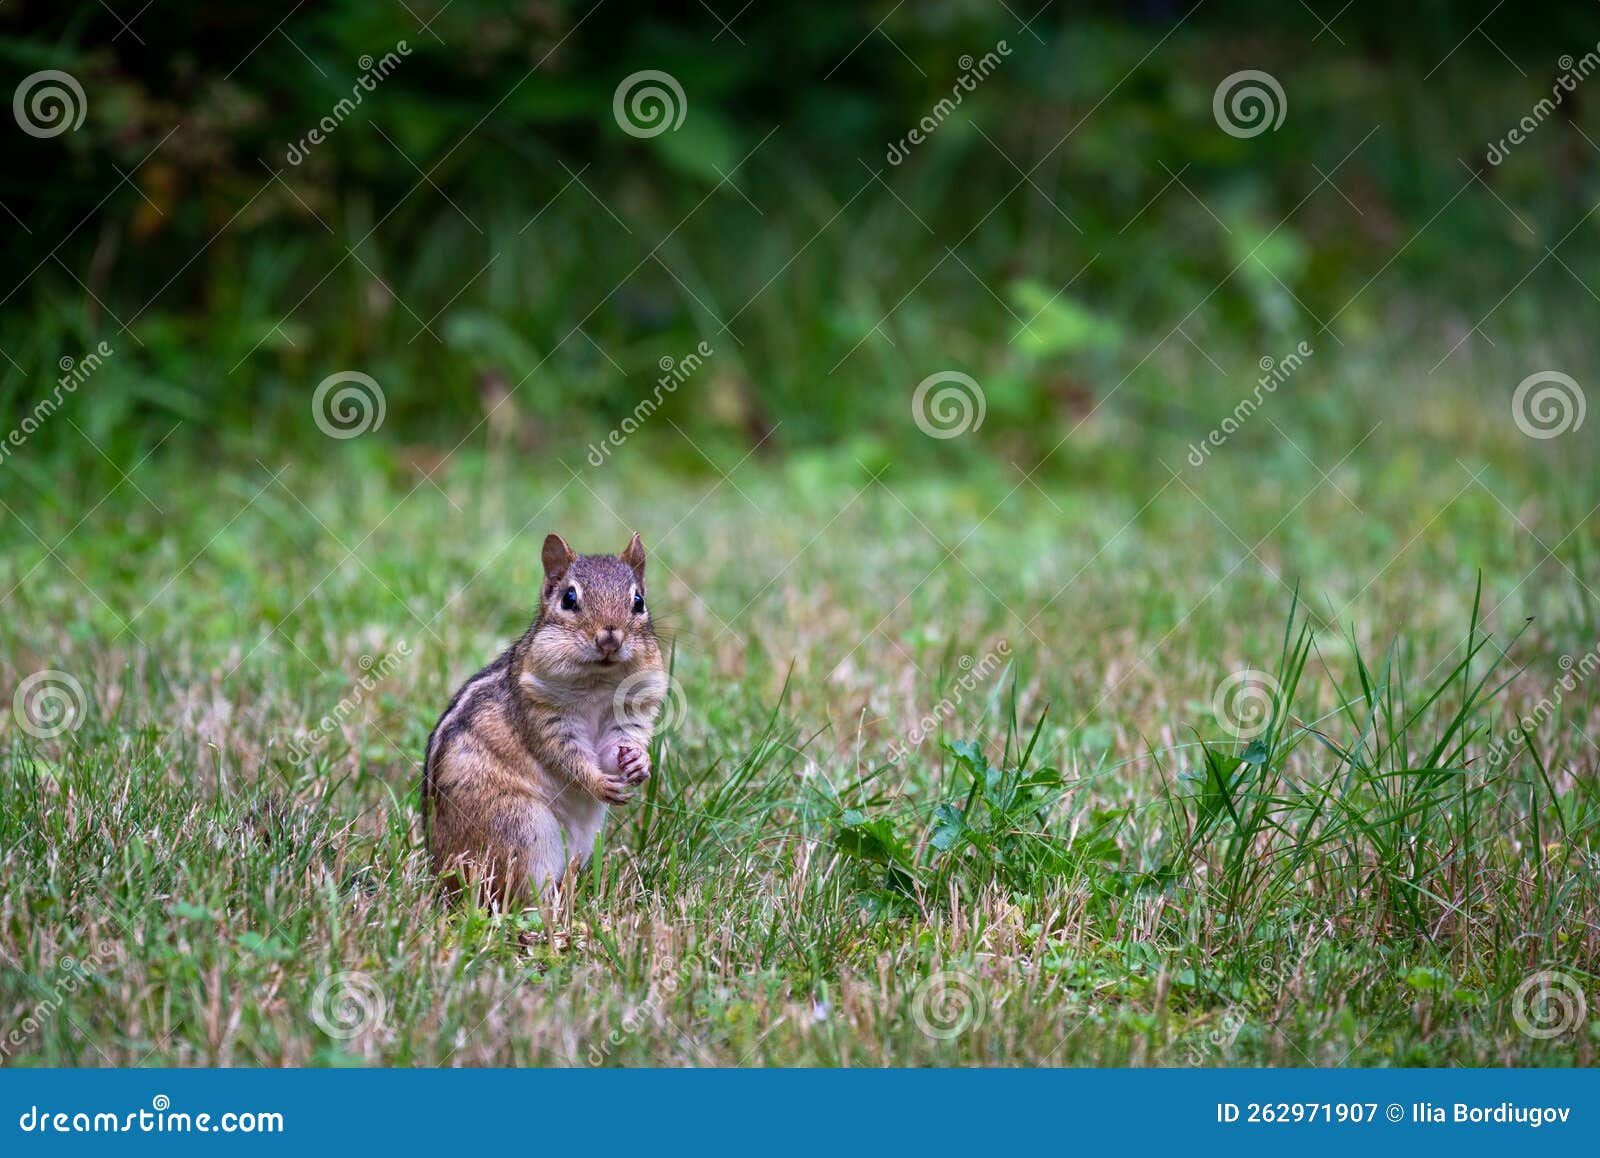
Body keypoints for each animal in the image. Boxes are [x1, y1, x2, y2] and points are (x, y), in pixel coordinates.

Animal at [421, 531, 666, 906]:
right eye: (569, 598)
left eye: (638, 601)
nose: (610, 637)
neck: (600, 682)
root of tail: (441, 875)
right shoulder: (545, 717)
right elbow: (566, 756)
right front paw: (598, 783)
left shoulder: (628, 714)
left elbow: (618, 746)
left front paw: (639, 763)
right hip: (520, 828)